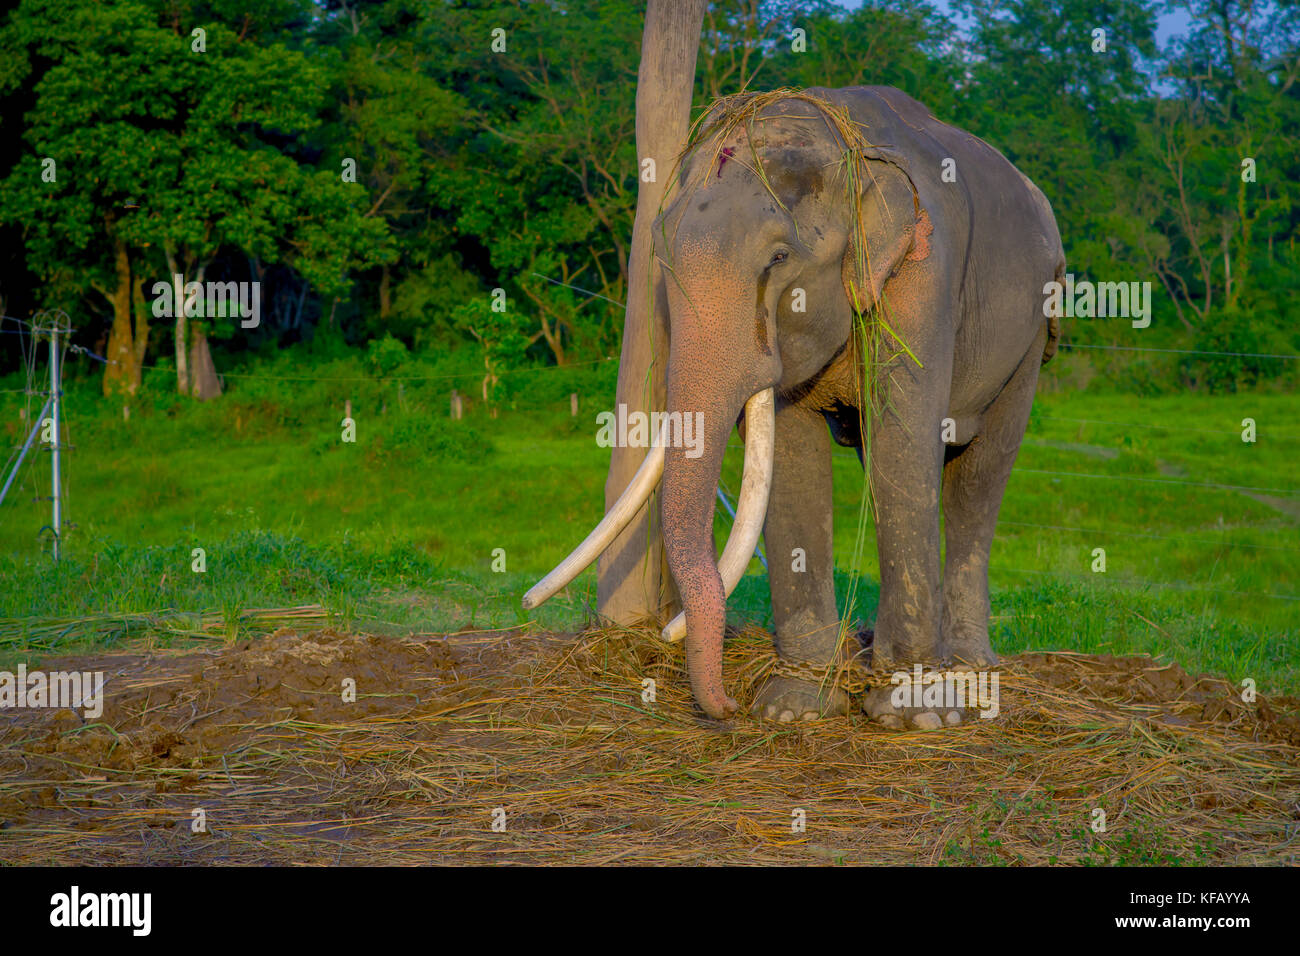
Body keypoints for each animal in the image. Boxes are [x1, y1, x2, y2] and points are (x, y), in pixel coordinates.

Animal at [525, 86, 1063, 728]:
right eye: (659, 254)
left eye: (779, 258)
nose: (728, 705)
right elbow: (792, 459)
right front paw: (794, 709)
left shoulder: (922, 275)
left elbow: (902, 442)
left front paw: (915, 715)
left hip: (1036, 332)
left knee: (981, 474)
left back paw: (969, 675)